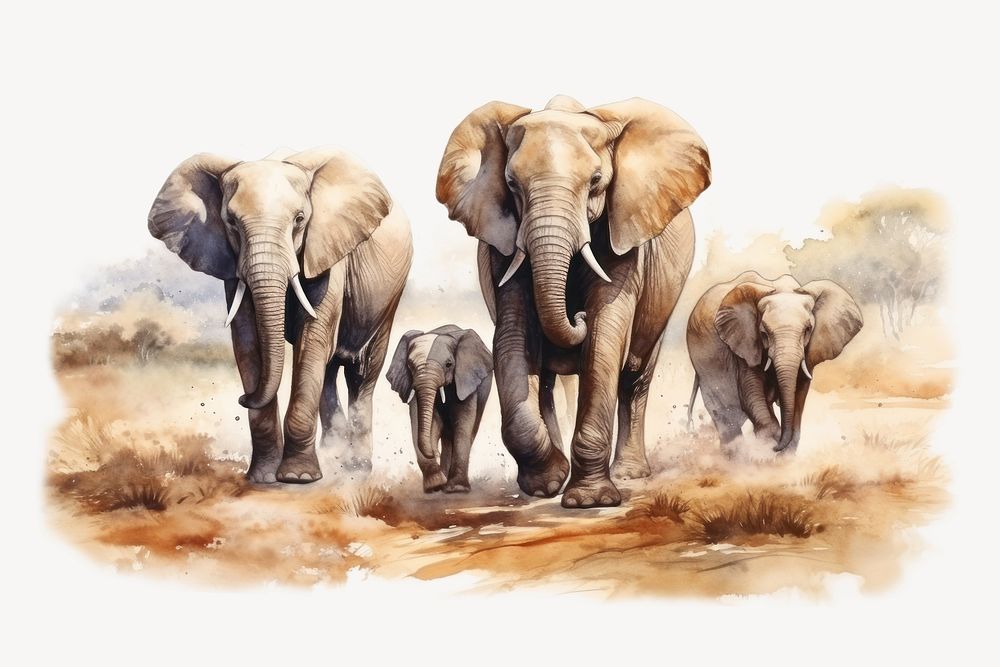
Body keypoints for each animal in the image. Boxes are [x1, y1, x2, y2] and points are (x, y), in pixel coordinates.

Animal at [148, 147, 412, 483]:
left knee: (362, 373)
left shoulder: (325, 249)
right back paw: (333, 455)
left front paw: (298, 478)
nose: (242, 399)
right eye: (231, 222)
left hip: (390, 296)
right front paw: (262, 477)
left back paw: (356, 467)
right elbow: (246, 340)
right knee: (327, 372)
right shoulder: (232, 264)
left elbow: (312, 338)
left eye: (299, 220)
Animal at [385, 325, 493, 493]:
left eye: (449, 364)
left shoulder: (465, 380)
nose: (434, 452)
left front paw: (457, 489)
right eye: (410, 365)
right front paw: (435, 485)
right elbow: (420, 422)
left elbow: (463, 423)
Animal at [435, 95, 711, 508]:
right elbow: (512, 337)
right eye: (512, 184)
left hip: (664, 300)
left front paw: (589, 502)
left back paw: (630, 473)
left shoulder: (624, 234)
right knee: (547, 382)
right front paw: (547, 483)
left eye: (596, 181)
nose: (575, 314)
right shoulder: (504, 240)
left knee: (635, 374)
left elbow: (605, 336)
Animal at [686, 272, 863, 454]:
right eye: (764, 333)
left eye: (808, 329)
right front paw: (770, 445)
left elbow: (799, 394)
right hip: (704, 363)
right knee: (726, 415)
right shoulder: (745, 342)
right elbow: (751, 391)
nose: (777, 448)